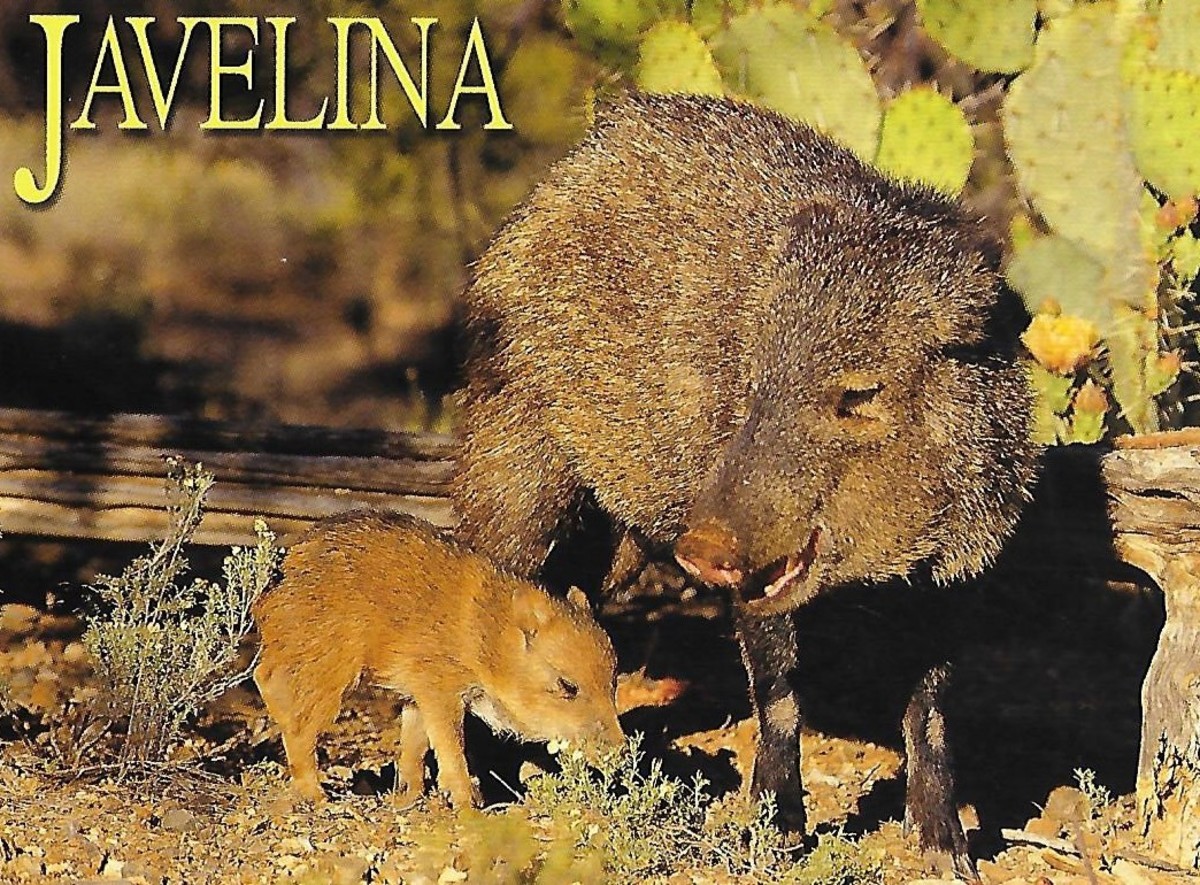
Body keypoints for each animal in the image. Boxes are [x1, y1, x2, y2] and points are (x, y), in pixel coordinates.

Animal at [253, 509, 623, 807]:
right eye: (568, 686)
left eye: (613, 682)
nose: (620, 752)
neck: (485, 637)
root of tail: (273, 589)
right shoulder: (441, 692)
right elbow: (450, 748)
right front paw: (466, 804)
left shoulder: (417, 696)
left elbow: (415, 747)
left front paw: (410, 797)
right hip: (330, 674)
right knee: (298, 727)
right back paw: (318, 798)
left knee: (265, 680)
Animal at [452, 93, 1040, 877]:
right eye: (757, 377)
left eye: (860, 394)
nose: (703, 548)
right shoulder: (756, 586)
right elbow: (778, 693)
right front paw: (776, 834)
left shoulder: (956, 578)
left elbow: (932, 709)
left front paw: (948, 853)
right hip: (517, 467)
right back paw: (490, 782)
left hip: (623, 539)